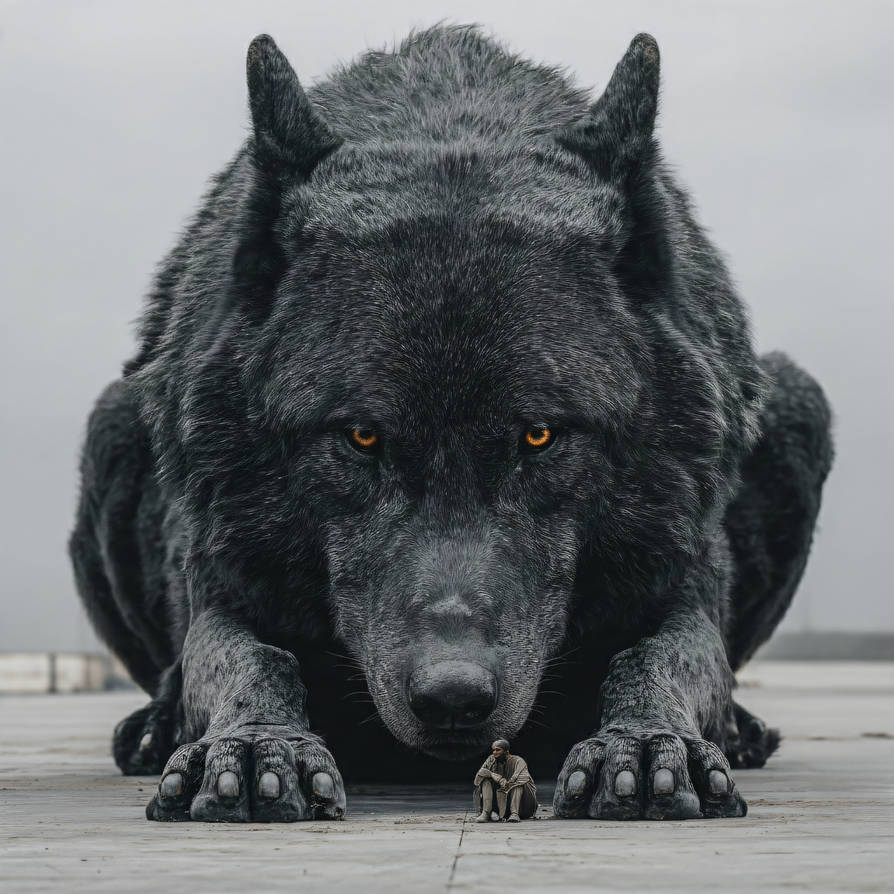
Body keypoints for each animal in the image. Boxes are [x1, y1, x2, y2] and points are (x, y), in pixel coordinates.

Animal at [69, 24, 834, 822]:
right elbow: (240, 658)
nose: (453, 696)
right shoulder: (225, 582)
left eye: (540, 435)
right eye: (361, 437)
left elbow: (664, 656)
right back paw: (154, 723)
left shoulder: (681, 579)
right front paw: (254, 746)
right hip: (113, 425)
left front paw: (647, 742)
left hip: (800, 405)